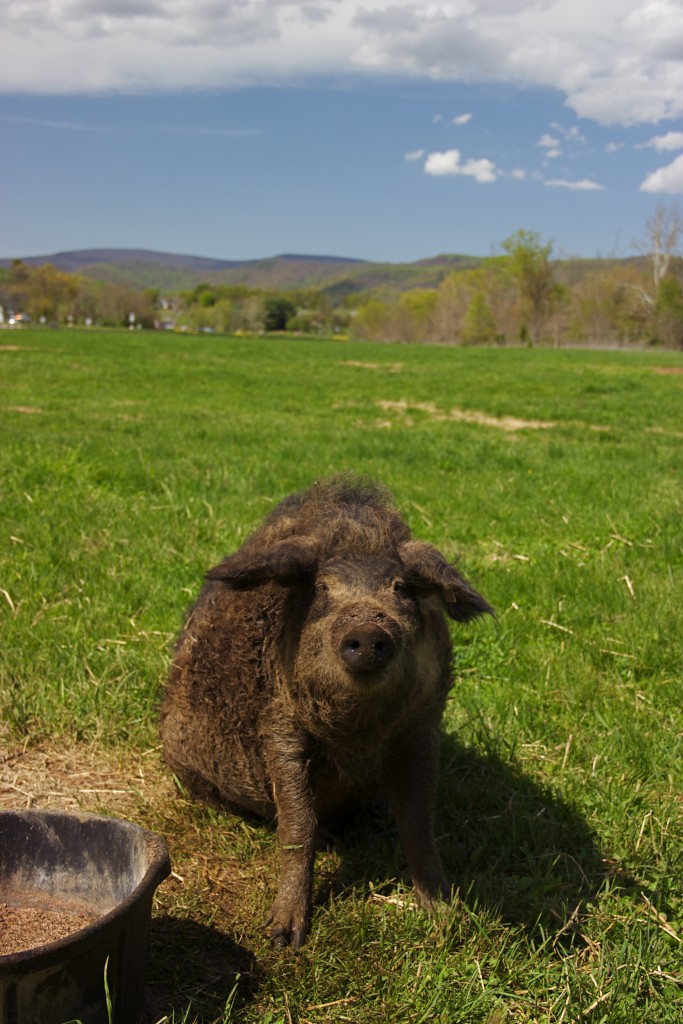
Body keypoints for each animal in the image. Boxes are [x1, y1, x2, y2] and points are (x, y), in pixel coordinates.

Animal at [160, 475, 492, 947]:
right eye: (322, 588)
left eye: (400, 588)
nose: (368, 629)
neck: (357, 732)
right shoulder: (281, 730)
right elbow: (298, 827)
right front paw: (283, 938)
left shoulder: (423, 726)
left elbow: (418, 822)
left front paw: (447, 920)